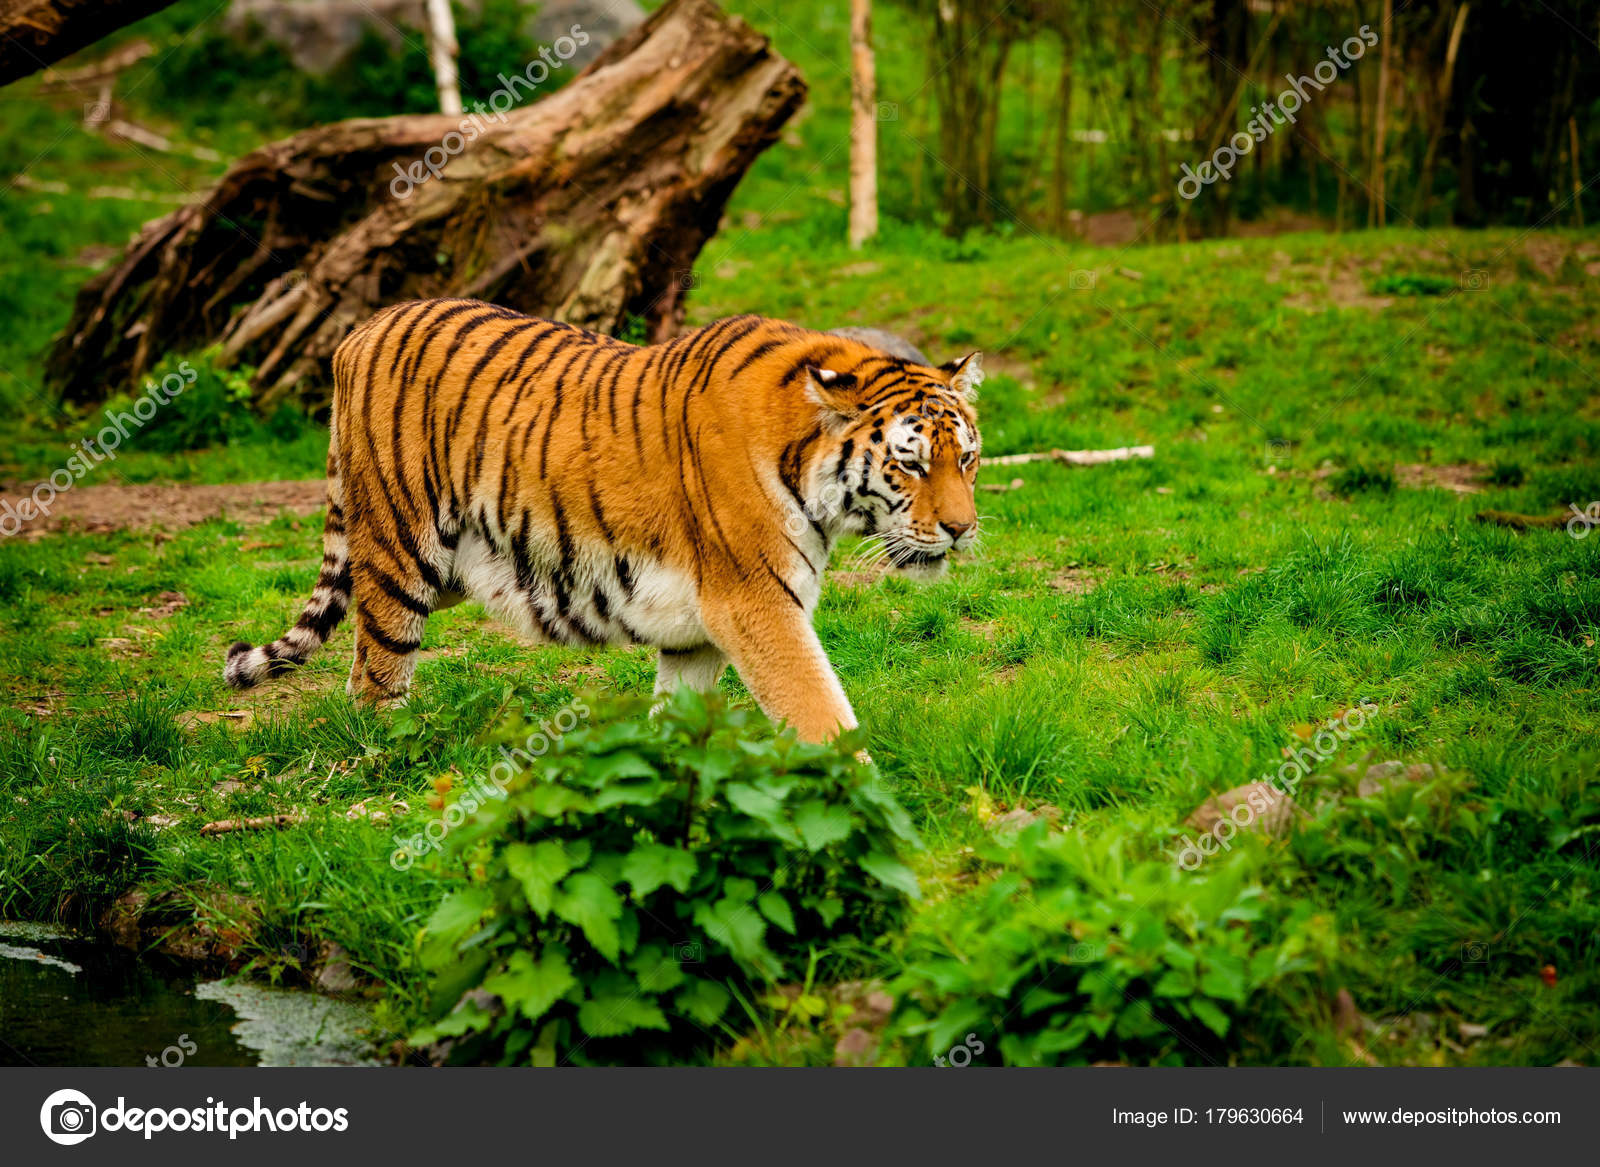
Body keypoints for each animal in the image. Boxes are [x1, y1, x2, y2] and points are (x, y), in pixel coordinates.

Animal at [223, 298, 983, 743]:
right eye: (911, 464)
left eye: (967, 459)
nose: (961, 529)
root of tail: (358, 333)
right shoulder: (757, 603)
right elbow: (819, 710)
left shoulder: (699, 626)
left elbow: (677, 715)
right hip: (401, 554)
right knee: (374, 674)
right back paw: (392, 752)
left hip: (450, 566)